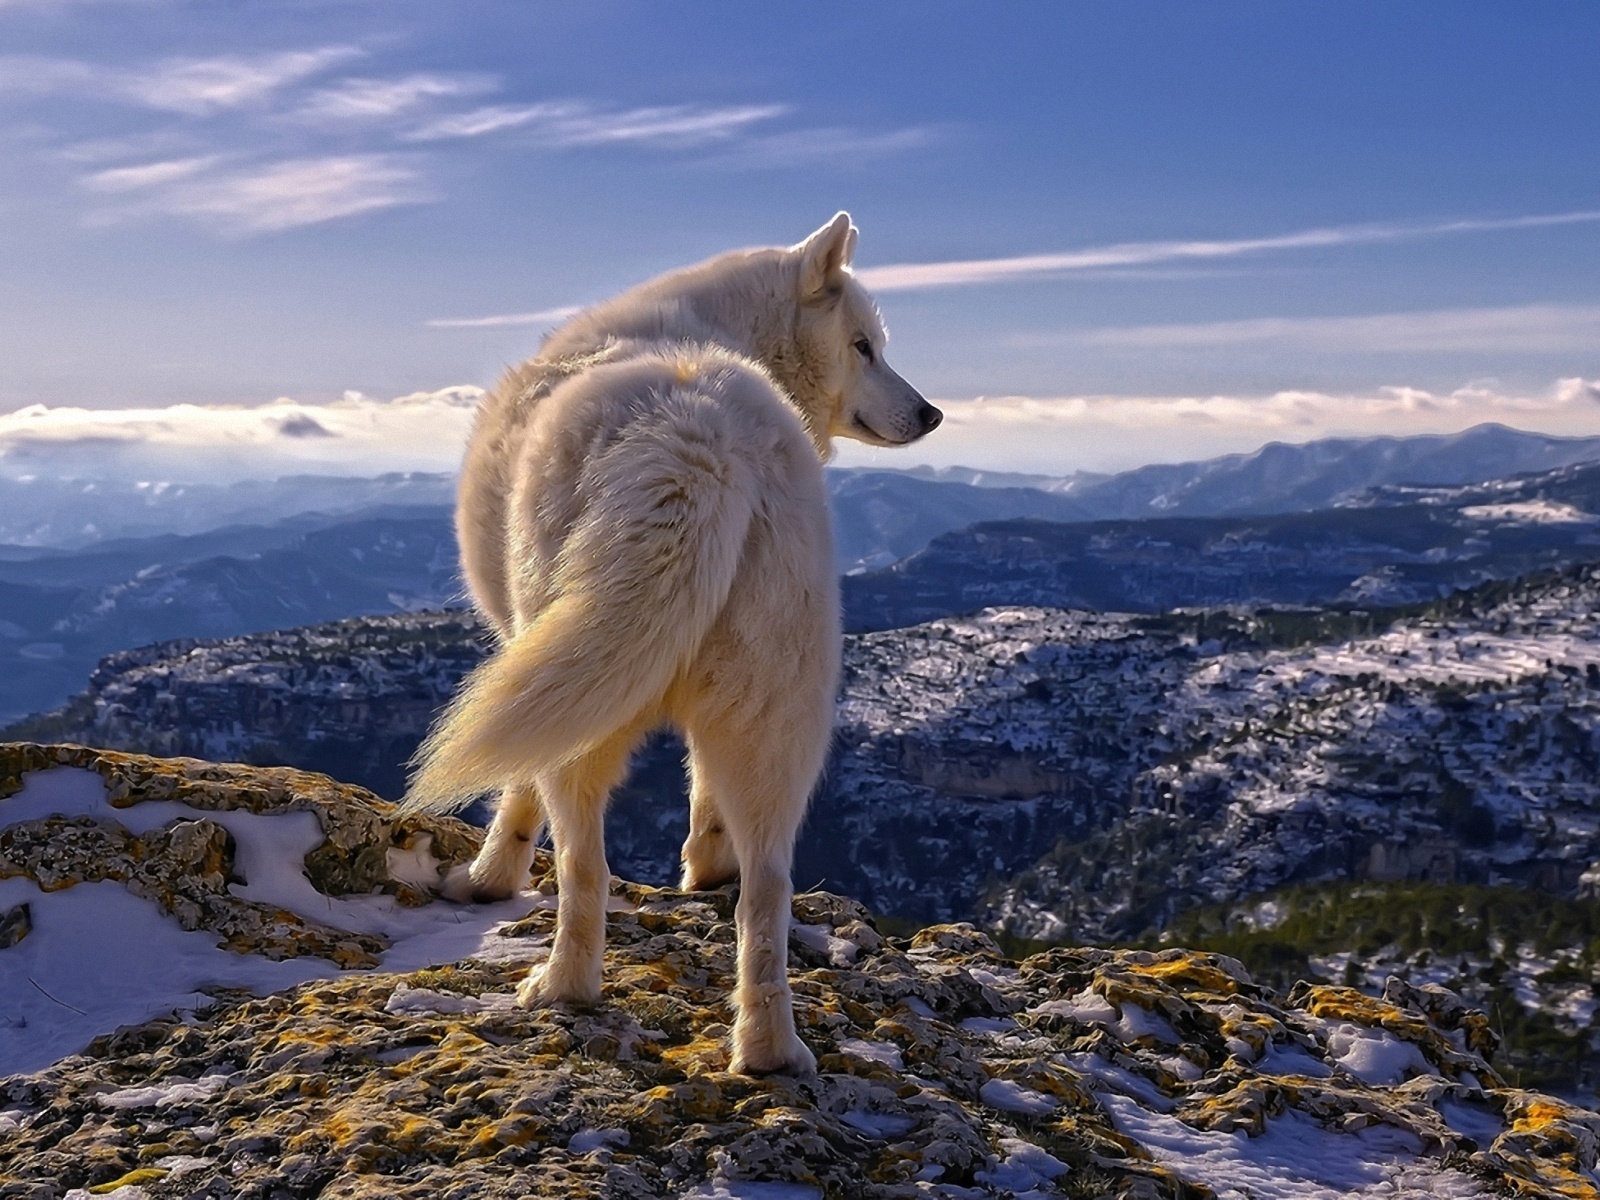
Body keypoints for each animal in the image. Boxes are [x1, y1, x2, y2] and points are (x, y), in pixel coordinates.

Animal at [402, 213, 940, 1073]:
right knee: (768, 887)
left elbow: (515, 793)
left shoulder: (528, 649)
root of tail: (700, 441)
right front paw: (706, 865)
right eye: (864, 346)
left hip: (586, 704)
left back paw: (561, 987)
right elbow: (702, 793)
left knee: (585, 865)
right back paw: (767, 1048)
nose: (931, 414)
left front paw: (488, 879)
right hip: (776, 714)